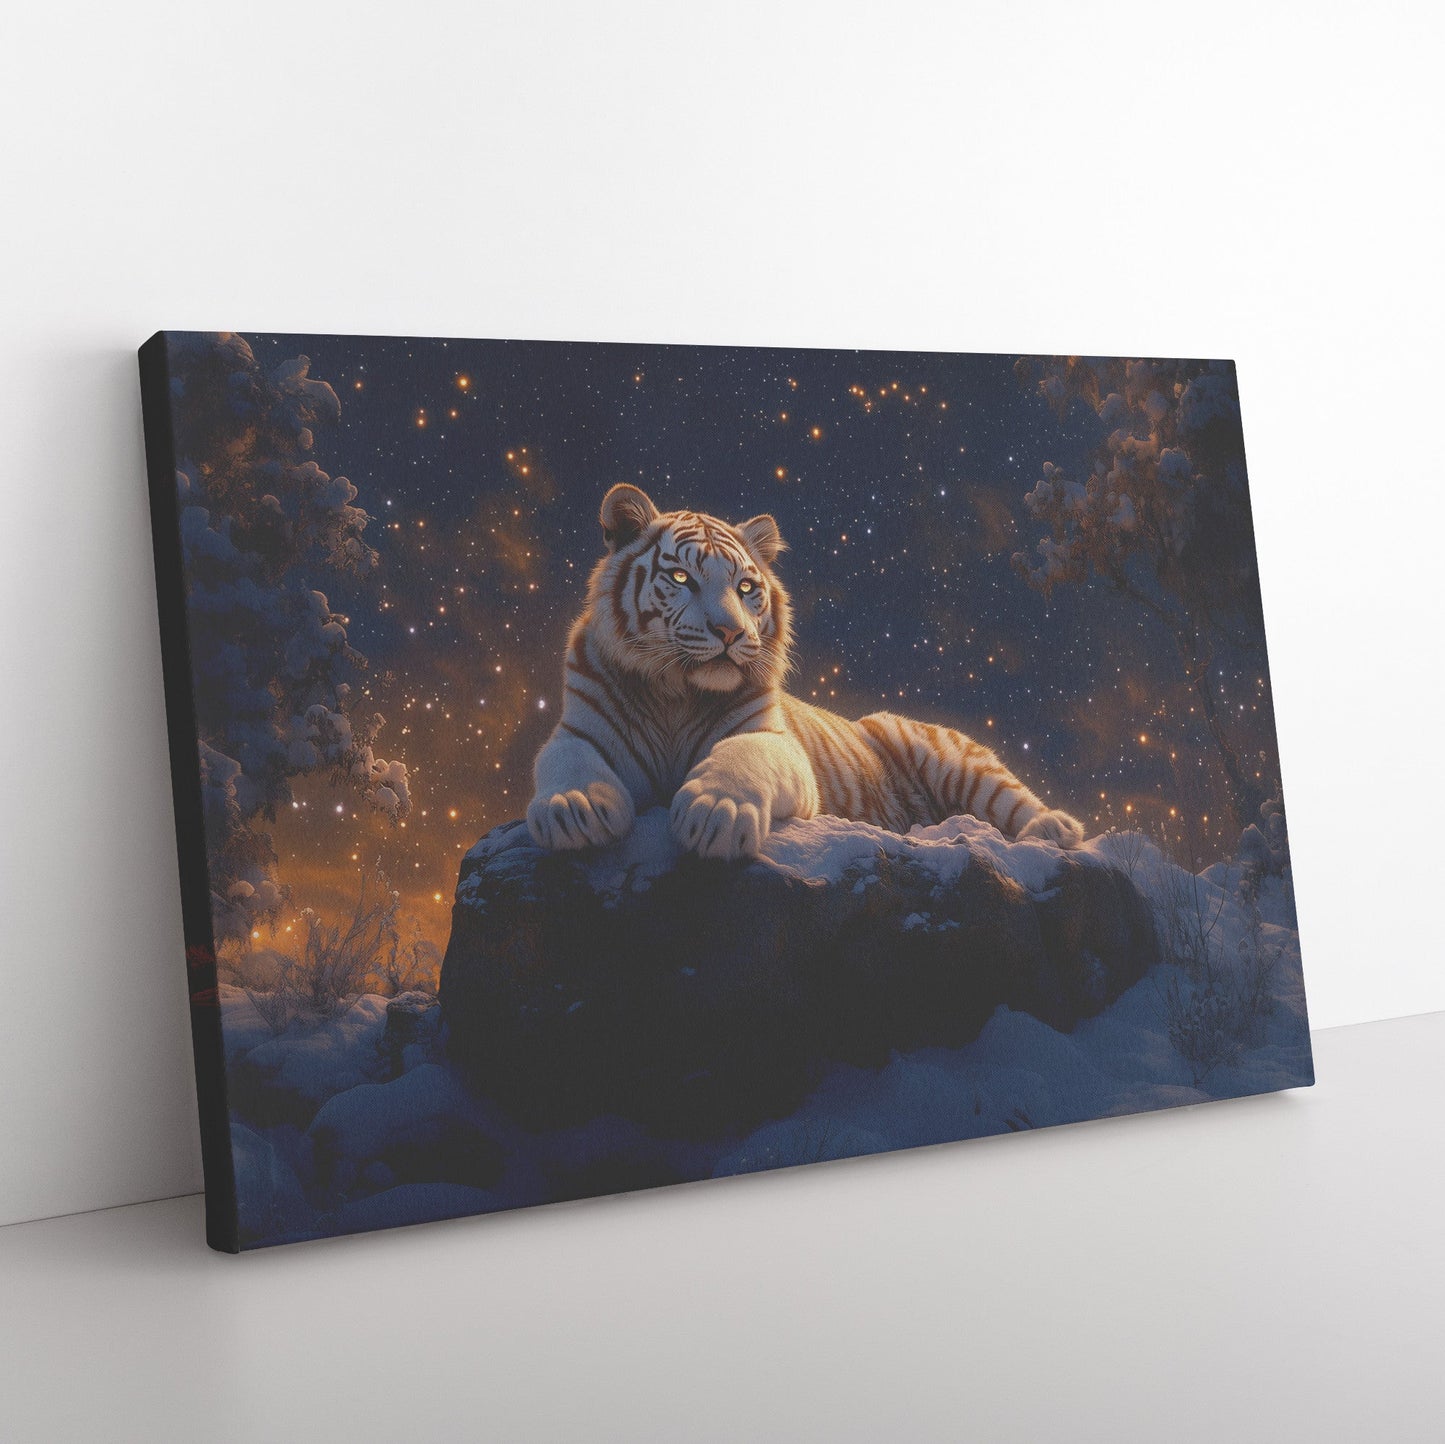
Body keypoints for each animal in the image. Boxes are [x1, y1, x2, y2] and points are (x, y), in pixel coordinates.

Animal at [526, 484, 1085, 862]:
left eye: (746, 587)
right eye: (681, 578)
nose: (729, 632)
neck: (675, 693)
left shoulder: (773, 740)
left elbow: (742, 757)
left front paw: (714, 813)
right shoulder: (578, 730)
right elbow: (566, 760)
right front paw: (575, 809)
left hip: (953, 758)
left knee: (1013, 800)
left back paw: (1055, 830)